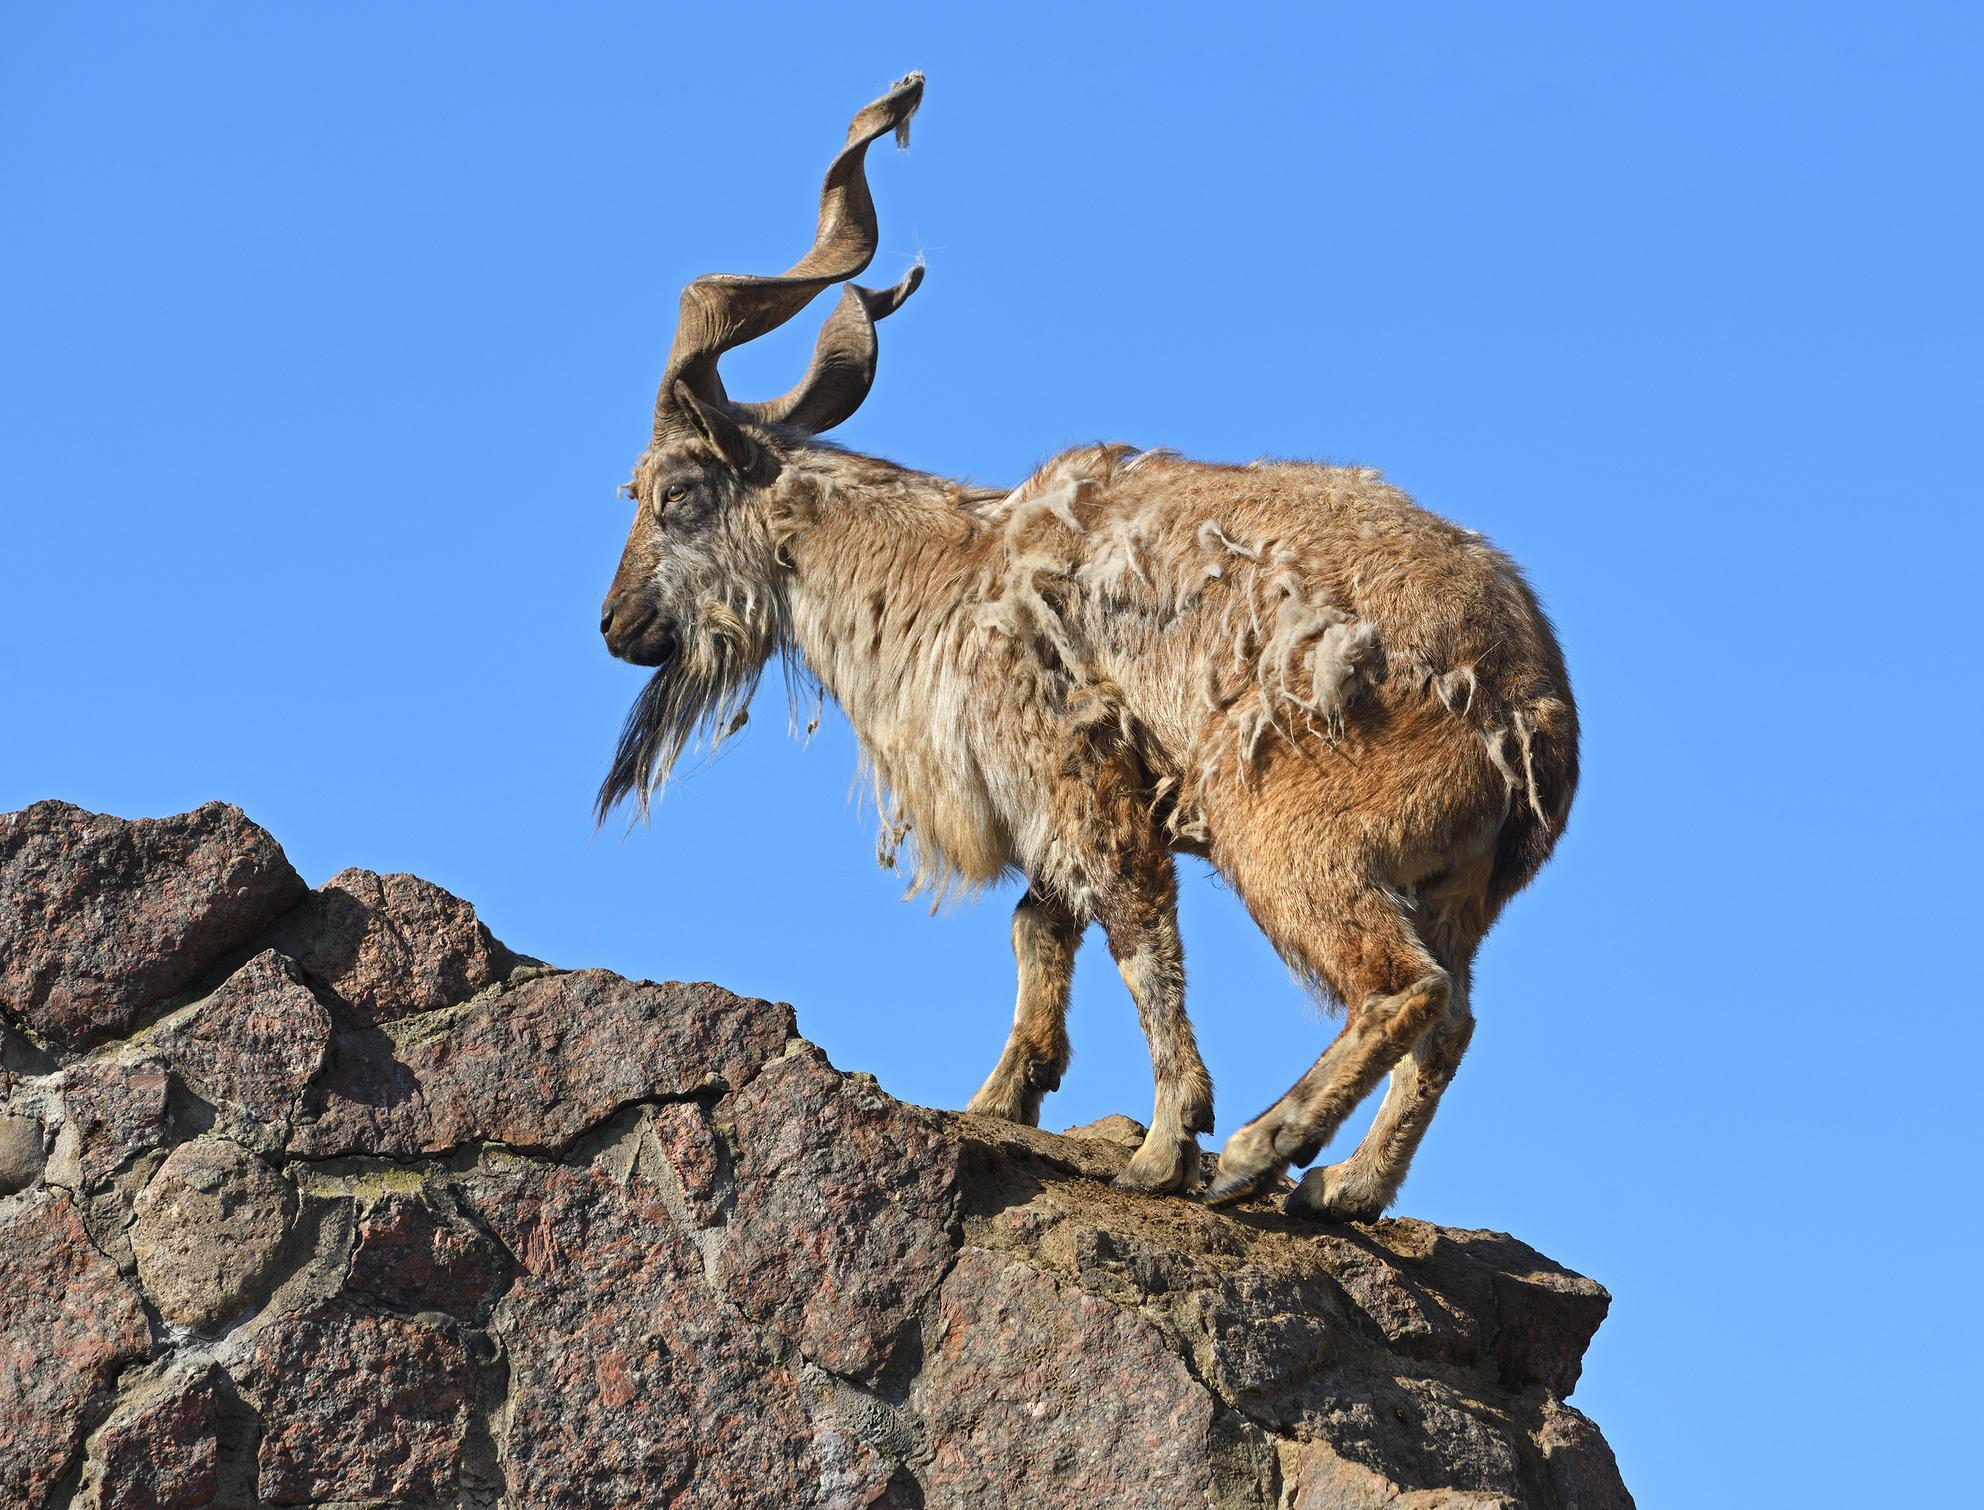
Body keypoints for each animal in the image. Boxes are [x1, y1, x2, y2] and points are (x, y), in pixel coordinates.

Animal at [597, 74, 1578, 1216]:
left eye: (673, 493)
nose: (616, 626)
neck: (956, 571)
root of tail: (1531, 717)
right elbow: (1040, 926)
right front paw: (1004, 1095)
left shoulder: (1081, 771)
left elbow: (1136, 934)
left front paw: (1166, 1142)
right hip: (1458, 894)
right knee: (1452, 1014)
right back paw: (1346, 1188)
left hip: (1291, 838)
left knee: (1398, 987)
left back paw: (1260, 1149)